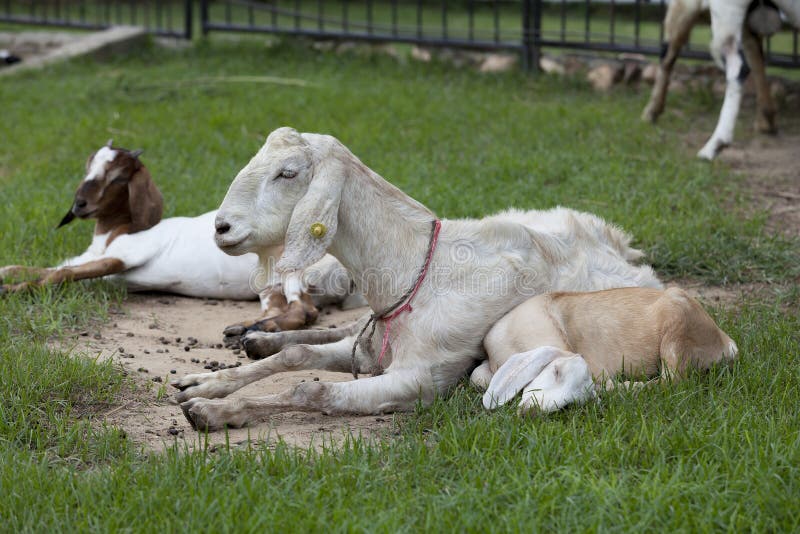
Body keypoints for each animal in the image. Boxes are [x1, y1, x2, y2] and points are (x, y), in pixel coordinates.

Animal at [0, 142, 361, 335]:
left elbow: (59, 274)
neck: (115, 234)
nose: (80, 205)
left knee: (305, 311)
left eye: (117, 177)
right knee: (280, 307)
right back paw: (243, 327)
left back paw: (253, 331)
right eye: (88, 168)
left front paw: (9, 291)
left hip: (293, 271)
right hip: (267, 285)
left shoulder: (125, 256)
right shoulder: (92, 261)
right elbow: (42, 268)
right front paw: (7, 275)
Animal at [172, 127, 662, 431]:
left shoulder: (418, 381)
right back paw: (256, 338)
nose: (221, 228)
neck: (414, 269)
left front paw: (213, 410)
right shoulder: (372, 352)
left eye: (287, 172)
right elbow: (298, 355)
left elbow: (310, 389)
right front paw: (204, 384)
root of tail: (625, 247)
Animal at [476, 287, 738, 413]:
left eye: (572, 401)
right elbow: (477, 378)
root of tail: (727, 342)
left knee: (671, 382)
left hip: (676, 332)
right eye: (556, 371)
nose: (532, 412)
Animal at [642, 0, 800, 160]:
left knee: (737, 66)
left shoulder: (684, 5)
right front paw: (766, 121)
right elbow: (755, 54)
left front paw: (651, 112)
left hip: (725, 10)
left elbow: (667, 53)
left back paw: (714, 145)